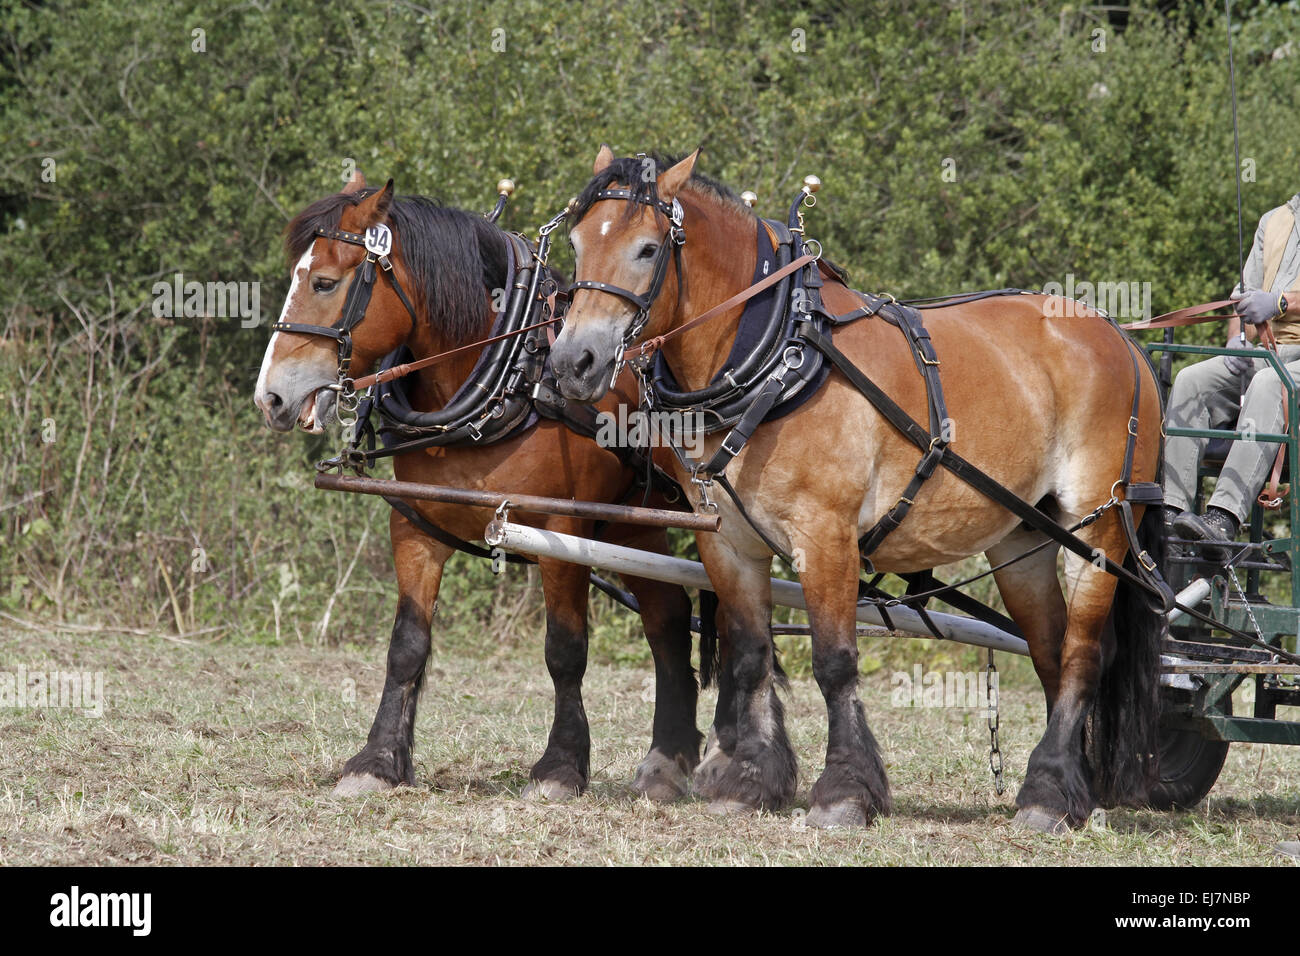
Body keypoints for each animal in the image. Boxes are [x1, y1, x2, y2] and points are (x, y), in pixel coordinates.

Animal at [253, 171, 701, 802]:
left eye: (323, 282)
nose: (270, 396)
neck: (515, 379)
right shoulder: (416, 526)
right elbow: (406, 646)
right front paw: (378, 760)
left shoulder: (561, 531)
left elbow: (565, 652)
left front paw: (561, 767)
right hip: (632, 524)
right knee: (668, 621)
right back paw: (670, 761)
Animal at [548, 146, 1167, 831]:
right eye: (576, 243)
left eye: (649, 249)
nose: (572, 362)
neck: (779, 355)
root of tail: (1120, 337)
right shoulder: (728, 542)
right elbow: (750, 653)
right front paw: (748, 781)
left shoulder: (826, 535)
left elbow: (835, 661)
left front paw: (843, 791)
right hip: (1023, 537)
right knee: (1051, 651)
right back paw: (1062, 788)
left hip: (1097, 524)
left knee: (1085, 652)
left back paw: (1050, 795)